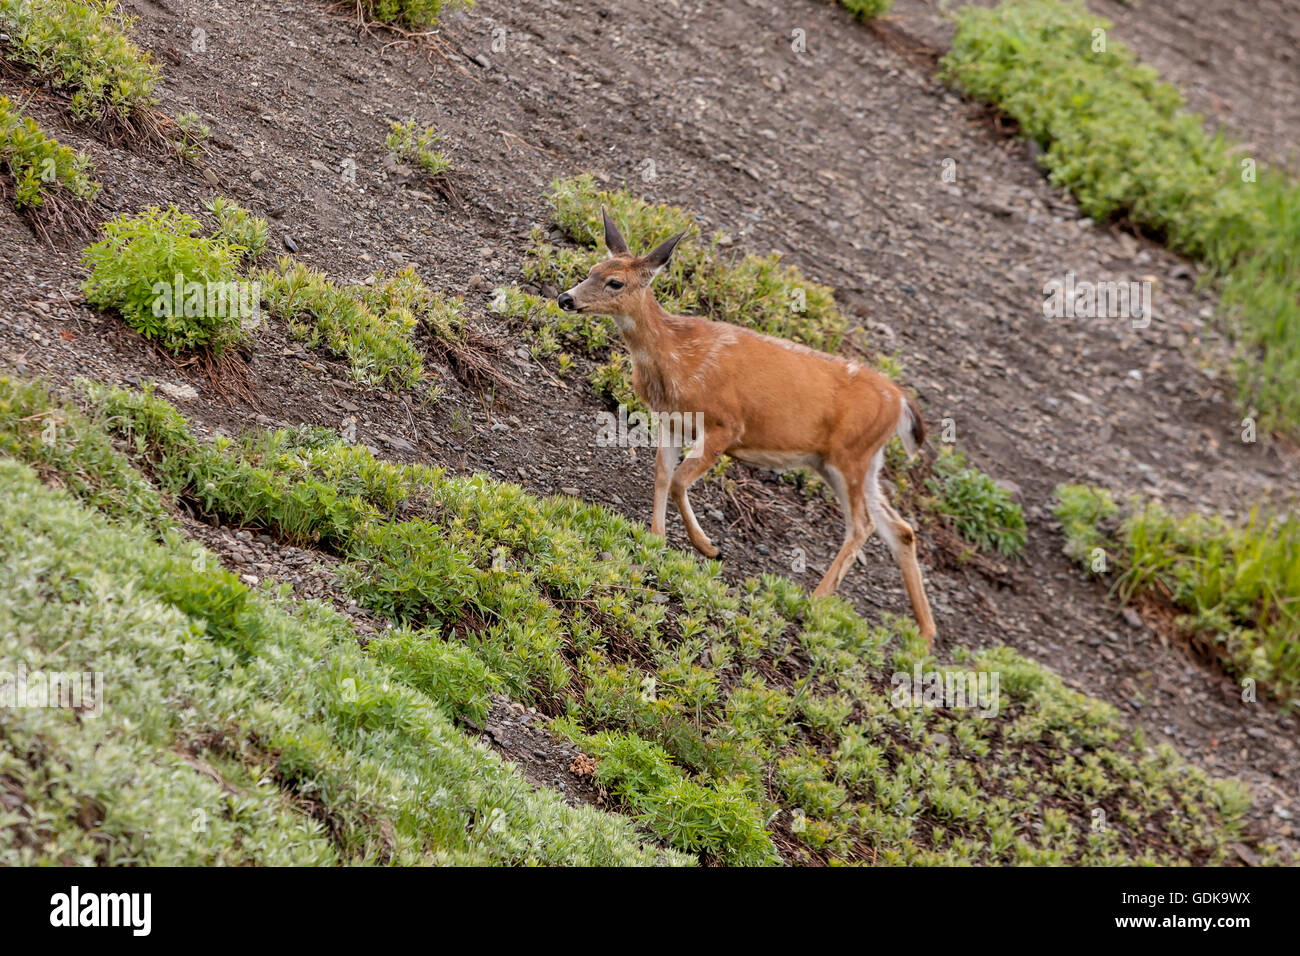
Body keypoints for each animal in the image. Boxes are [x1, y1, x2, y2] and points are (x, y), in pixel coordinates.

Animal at [557, 209, 937, 648]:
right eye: (591, 269)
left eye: (615, 281)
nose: (566, 298)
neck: (678, 359)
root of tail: (900, 400)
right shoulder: (671, 421)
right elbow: (661, 474)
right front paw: (656, 539)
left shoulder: (726, 424)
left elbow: (679, 479)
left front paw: (709, 547)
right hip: (852, 460)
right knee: (900, 528)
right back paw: (925, 635)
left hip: (850, 456)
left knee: (863, 525)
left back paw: (816, 600)